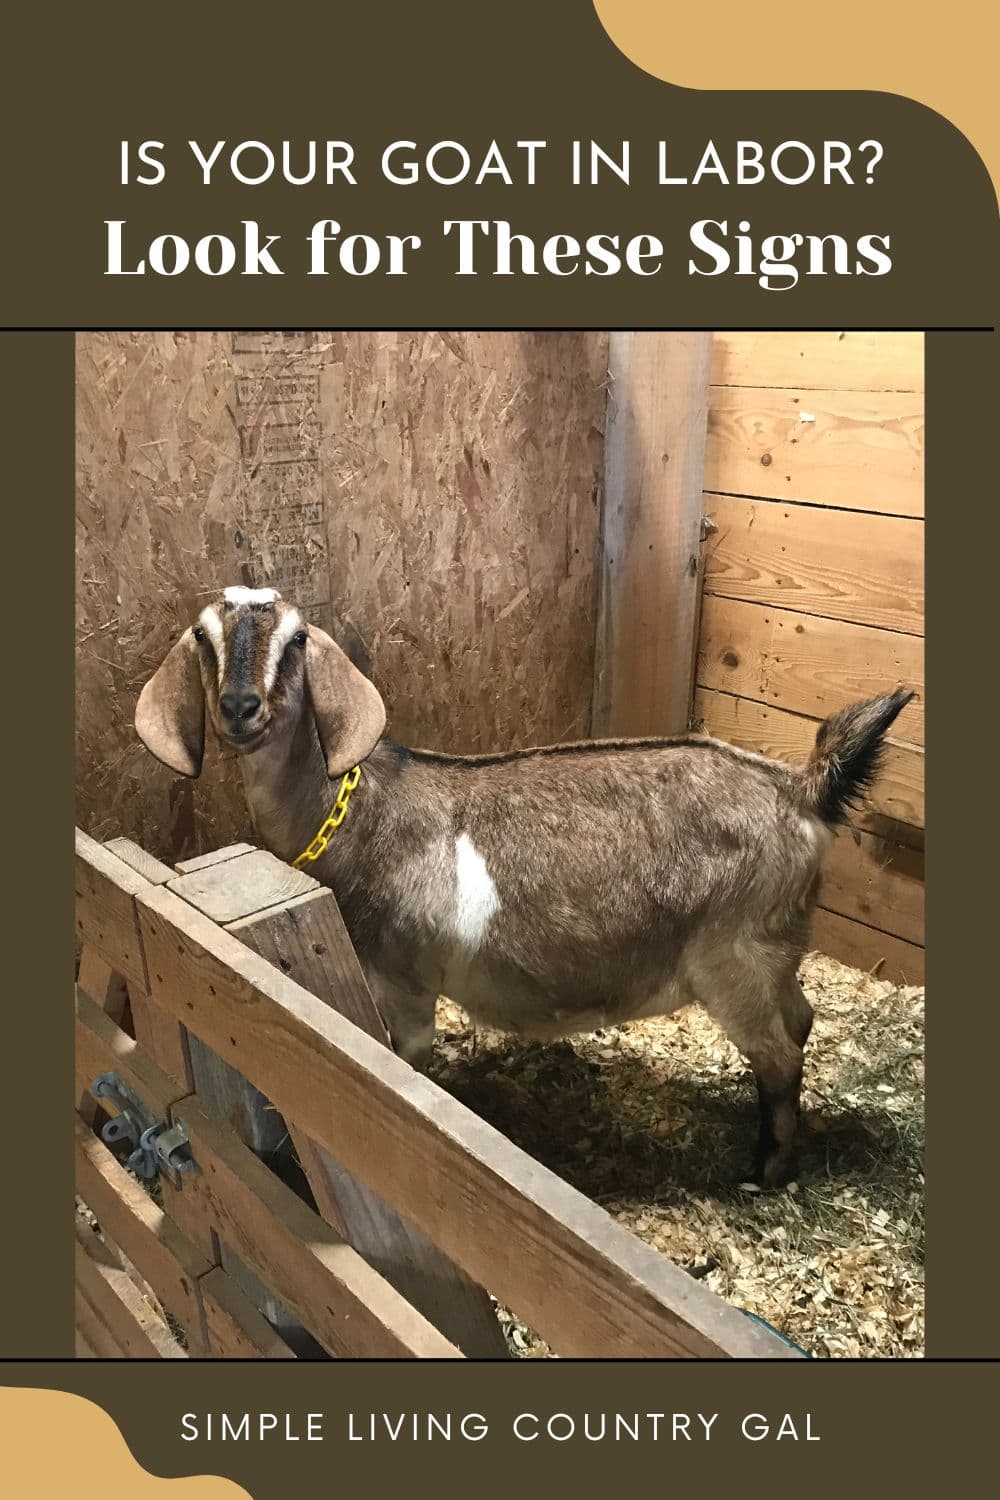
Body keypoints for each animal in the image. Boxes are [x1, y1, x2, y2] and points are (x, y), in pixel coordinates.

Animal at [135, 585, 913, 1186]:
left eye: (296, 639)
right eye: (203, 635)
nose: (240, 708)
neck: (355, 808)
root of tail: (800, 789)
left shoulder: (404, 976)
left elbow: (407, 1063)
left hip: (734, 956)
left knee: (780, 1052)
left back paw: (765, 1171)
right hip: (776, 947)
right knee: (802, 1019)